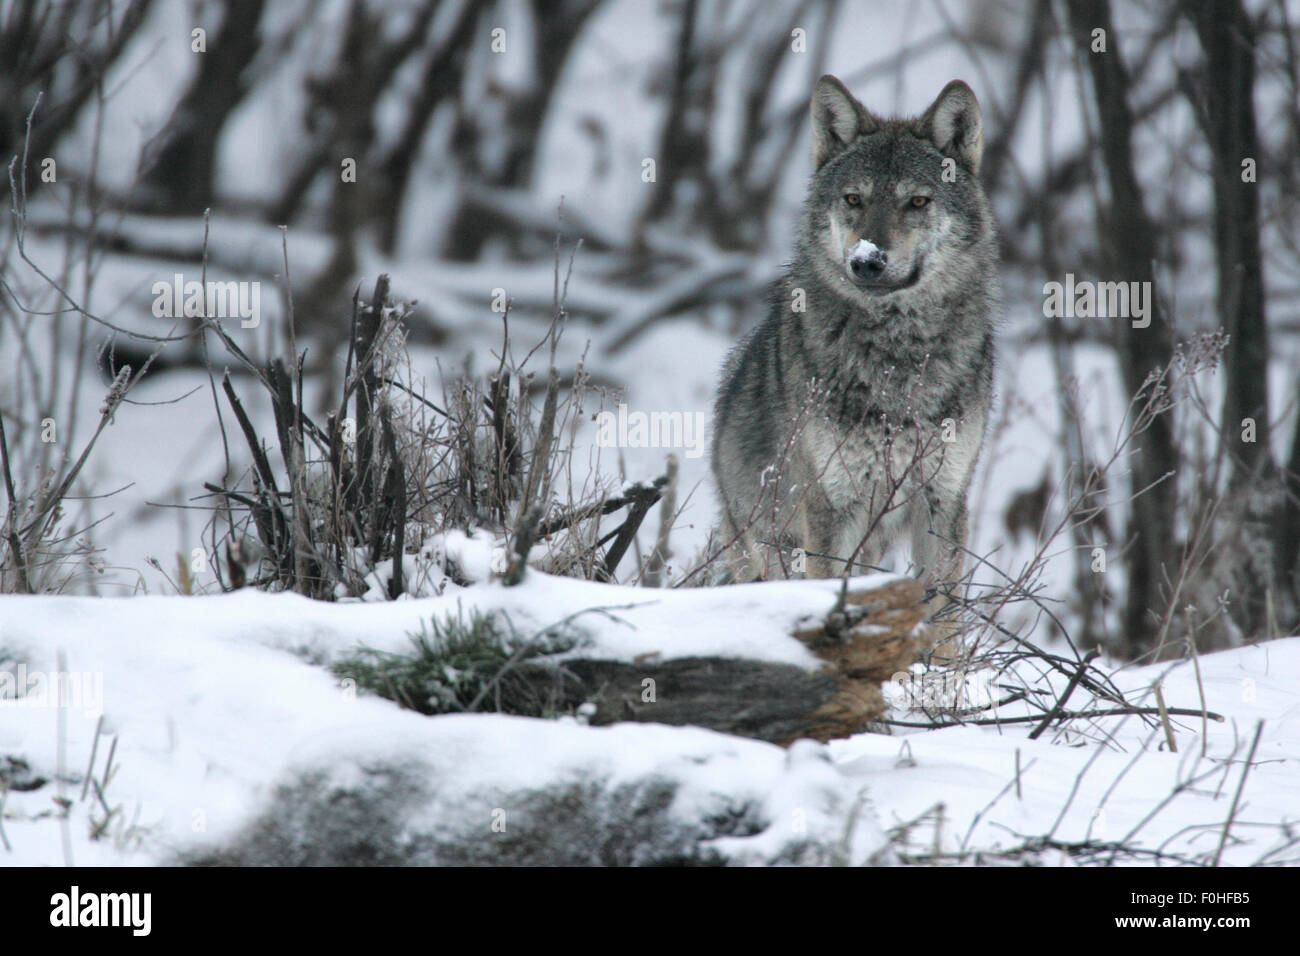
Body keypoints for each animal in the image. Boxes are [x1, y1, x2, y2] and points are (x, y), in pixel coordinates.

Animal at [712, 76, 998, 601]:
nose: (867, 261)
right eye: (853, 200)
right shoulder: (832, 506)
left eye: (918, 201)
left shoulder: (943, 502)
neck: (897, 354)